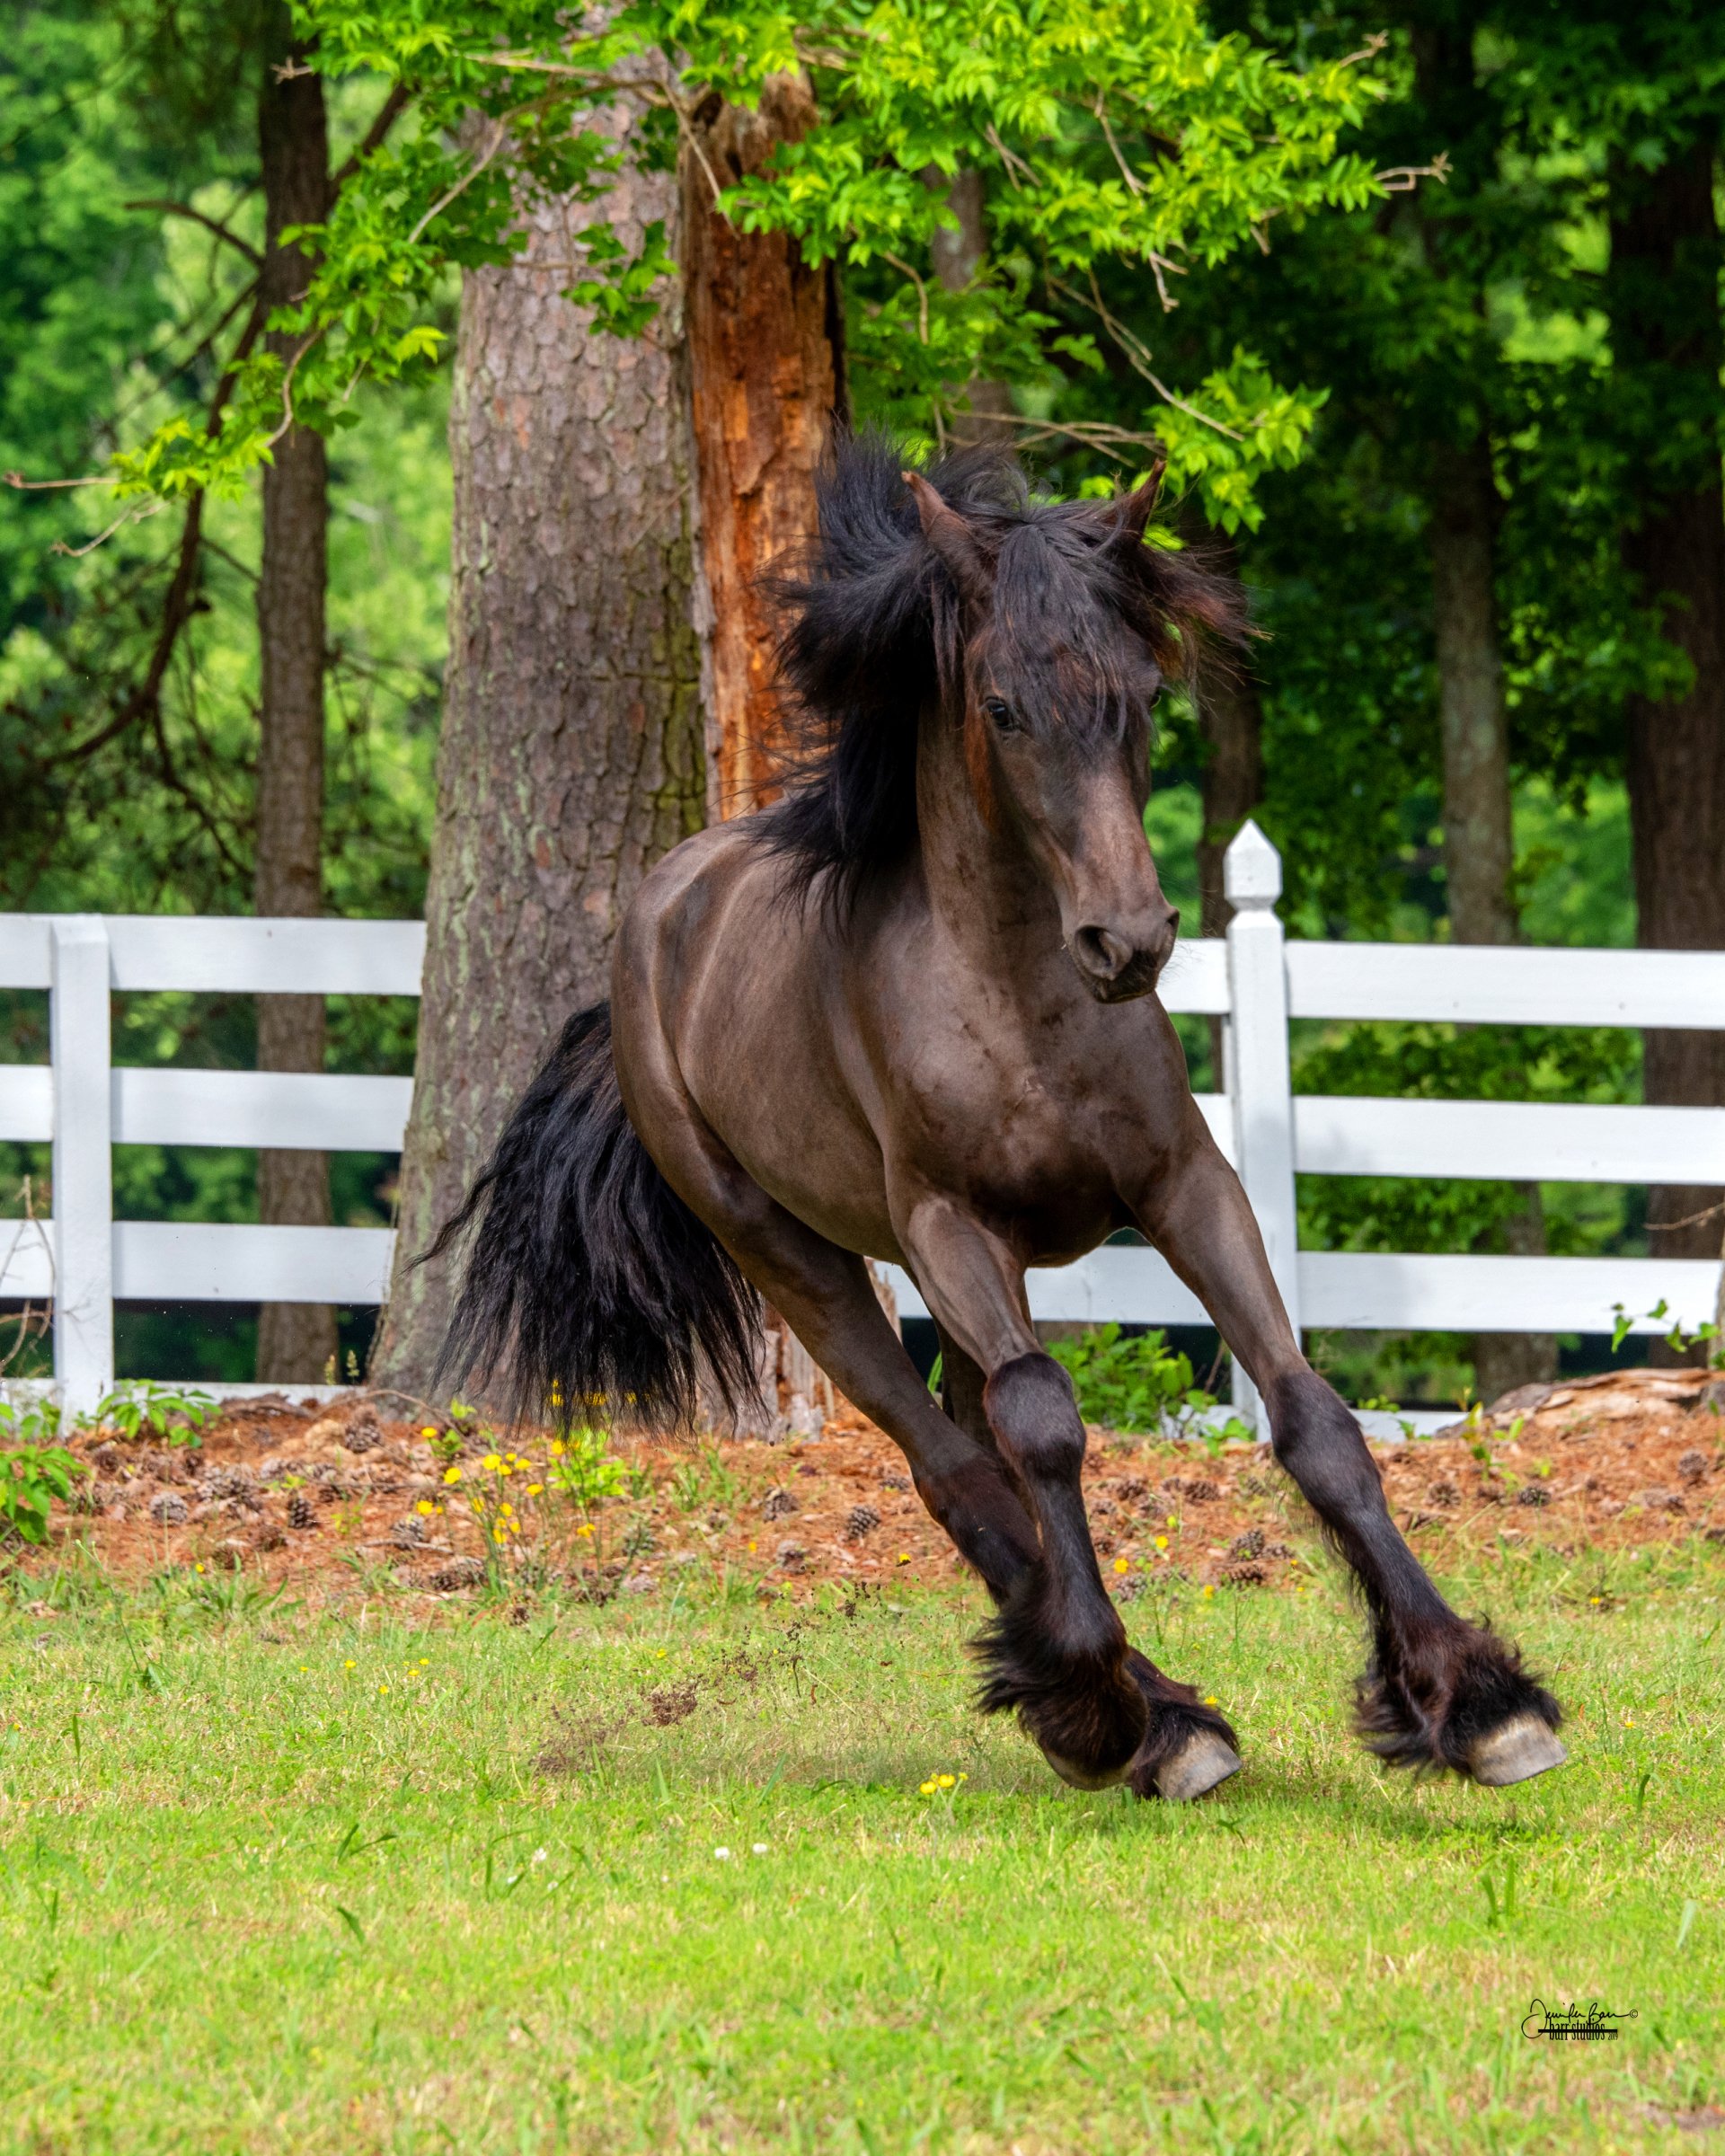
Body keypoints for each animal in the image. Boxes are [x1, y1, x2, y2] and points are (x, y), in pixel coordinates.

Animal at [432, 434, 1567, 1802]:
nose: (1129, 942)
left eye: (1144, 692)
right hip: (799, 1260)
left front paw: (1478, 1702)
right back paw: (1138, 1718)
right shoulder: (946, 1225)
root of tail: (652, 928)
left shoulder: (1185, 1186)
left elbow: (1311, 1416)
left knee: (985, 1434)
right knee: (957, 1462)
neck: (1019, 997)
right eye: (1006, 709)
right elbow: (1045, 1425)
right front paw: (1110, 1704)